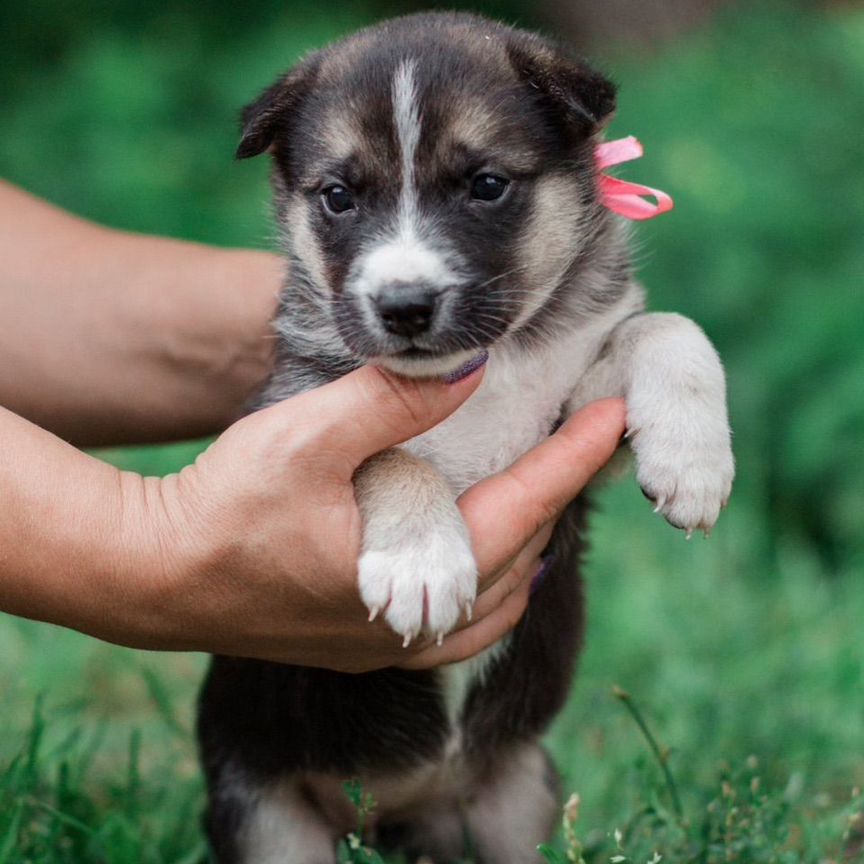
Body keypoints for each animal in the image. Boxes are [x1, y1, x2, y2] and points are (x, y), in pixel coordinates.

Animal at [199, 10, 732, 860]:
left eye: (486, 185)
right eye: (339, 197)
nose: (404, 306)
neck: (484, 370)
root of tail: (389, 814)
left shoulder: (575, 429)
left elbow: (666, 328)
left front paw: (693, 464)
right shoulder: (297, 414)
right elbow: (386, 455)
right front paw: (422, 563)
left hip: (520, 794)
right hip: (265, 816)